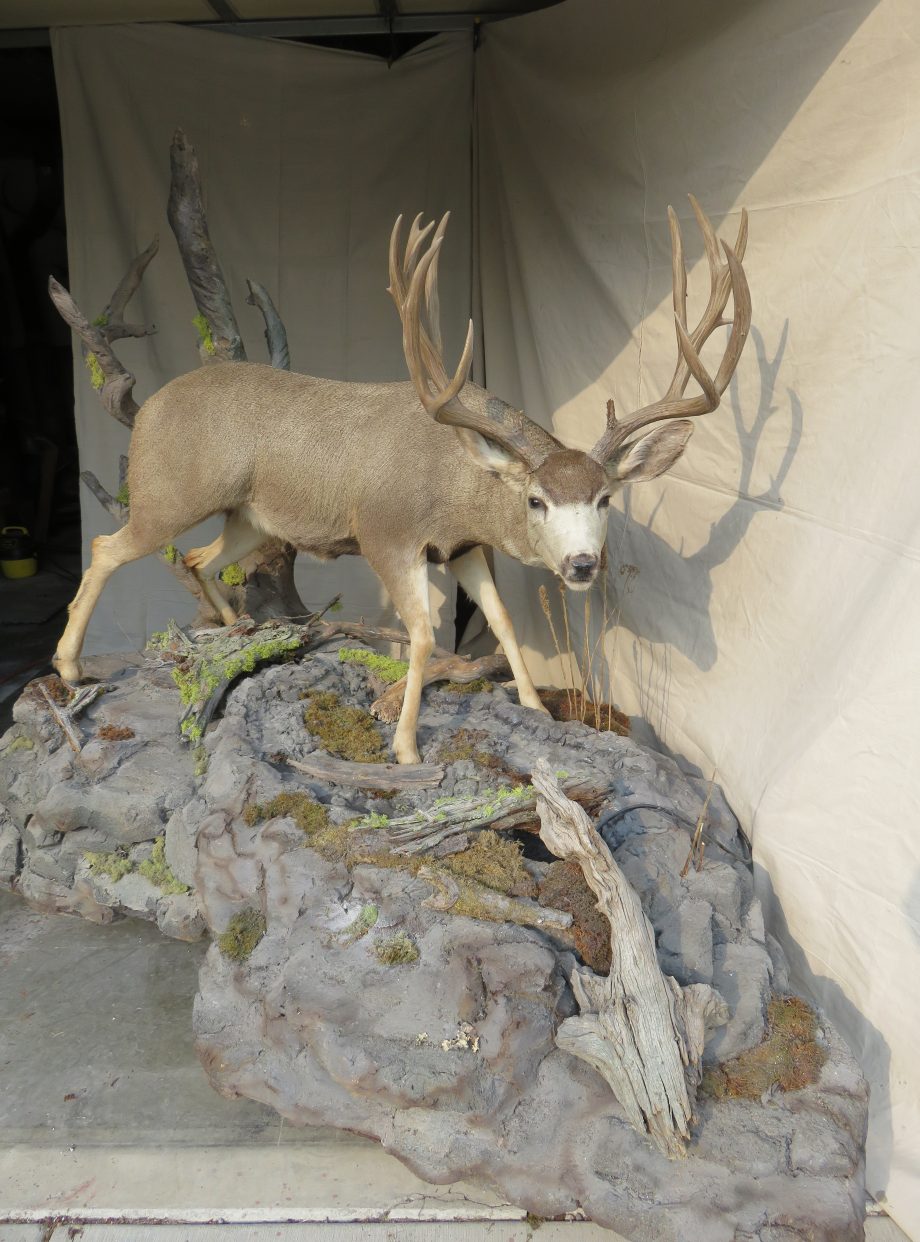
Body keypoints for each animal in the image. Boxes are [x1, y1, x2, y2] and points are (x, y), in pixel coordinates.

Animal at [53, 196, 750, 764]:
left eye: (605, 498)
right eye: (536, 499)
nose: (582, 564)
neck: (458, 481)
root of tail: (148, 409)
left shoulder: (464, 548)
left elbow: (501, 620)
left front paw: (535, 707)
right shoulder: (387, 534)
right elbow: (419, 635)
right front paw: (407, 745)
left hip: (248, 517)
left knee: (199, 557)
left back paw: (231, 631)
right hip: (167, 493)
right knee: (108, 547)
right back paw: (69, 664)